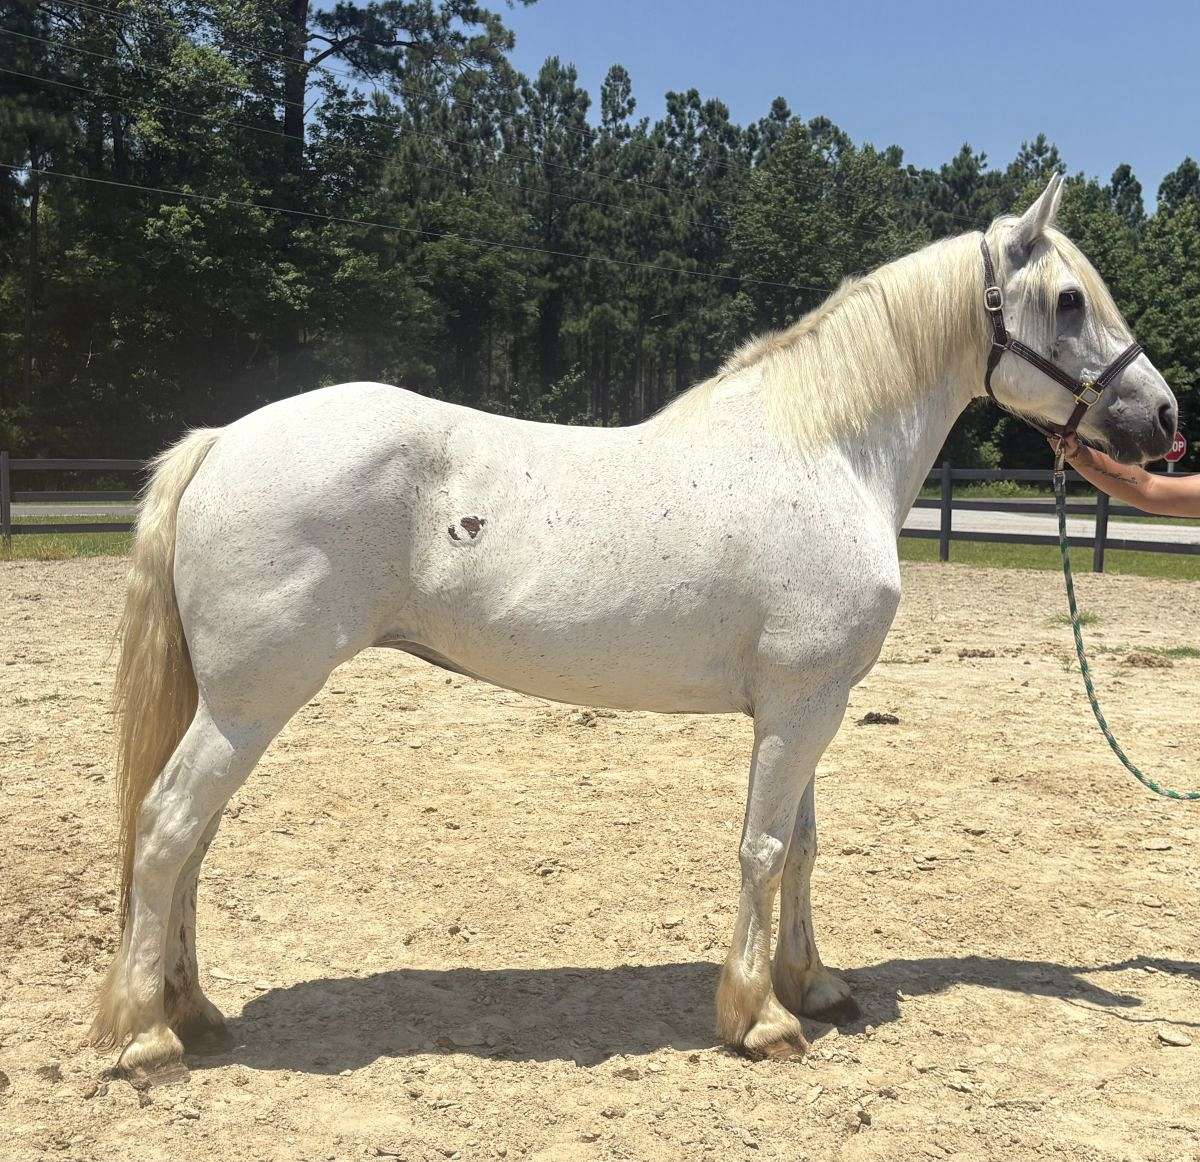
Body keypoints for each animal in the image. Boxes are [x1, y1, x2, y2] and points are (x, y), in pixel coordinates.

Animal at [88, 176, 1177, 1079]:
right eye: (1069, 301)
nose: (1162, 418)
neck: (827, 451)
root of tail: (223, 439)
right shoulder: (797, 706)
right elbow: (762, 849)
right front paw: (762, 1018)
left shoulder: (813, 703)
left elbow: (804, 846)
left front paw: (817, 986)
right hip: (248, 704)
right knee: (167, 829)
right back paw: (147, 1037)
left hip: (237, 709)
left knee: (191, 842)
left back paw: (194, 1014)